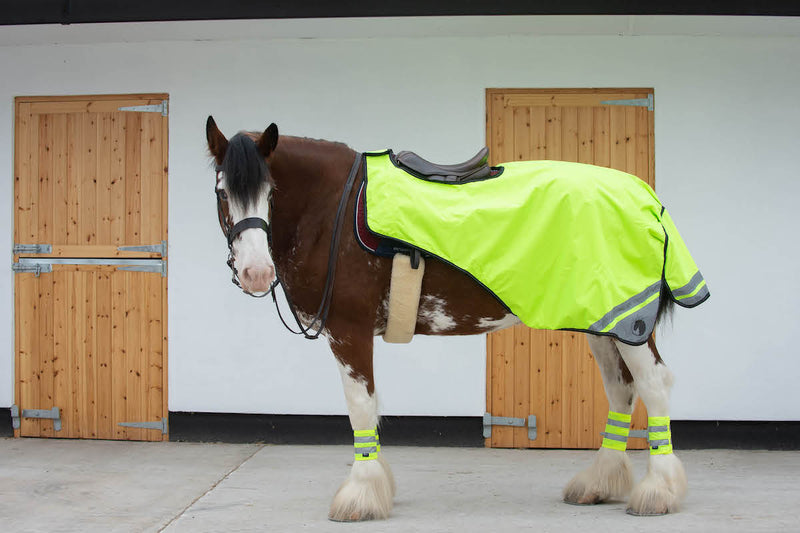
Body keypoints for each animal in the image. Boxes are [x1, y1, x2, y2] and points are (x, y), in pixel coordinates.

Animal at [206, 116, 690, 521]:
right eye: (222, 192)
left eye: (271, 192)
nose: (255, 272)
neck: (334, 212)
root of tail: (646, 198)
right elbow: (373, 409)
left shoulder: (349, 331)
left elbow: (361, 407)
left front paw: (361, 495)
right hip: (602, 321)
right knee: (621, 390)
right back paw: (599, 483)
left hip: (628, 325)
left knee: (653, 385)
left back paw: (659, 491)